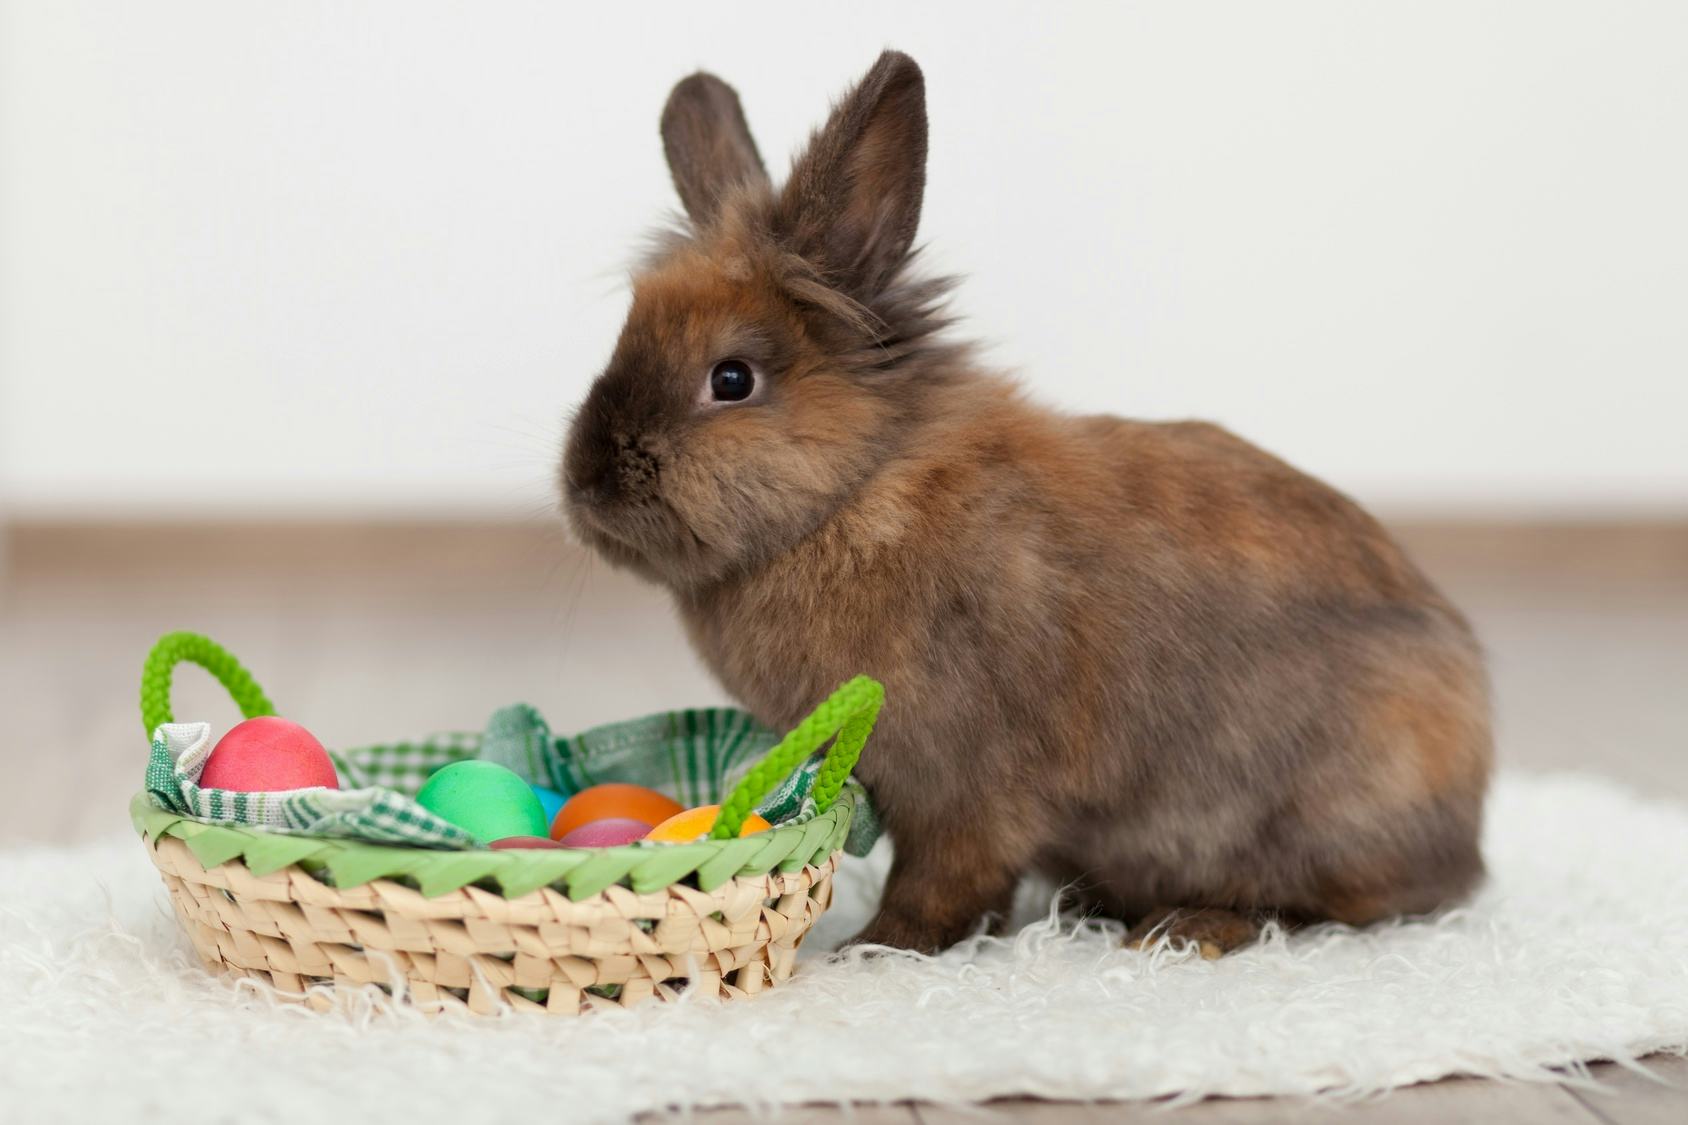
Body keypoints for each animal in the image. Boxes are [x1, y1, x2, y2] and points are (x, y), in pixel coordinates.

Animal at [560, 50, 1492, 955]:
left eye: (731, 379)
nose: (586, 480)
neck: (859, 490)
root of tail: (1470, 826)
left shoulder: (966, 783)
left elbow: (949, 874)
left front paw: (881, 947)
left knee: (1323, 908)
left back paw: (1185, 930)